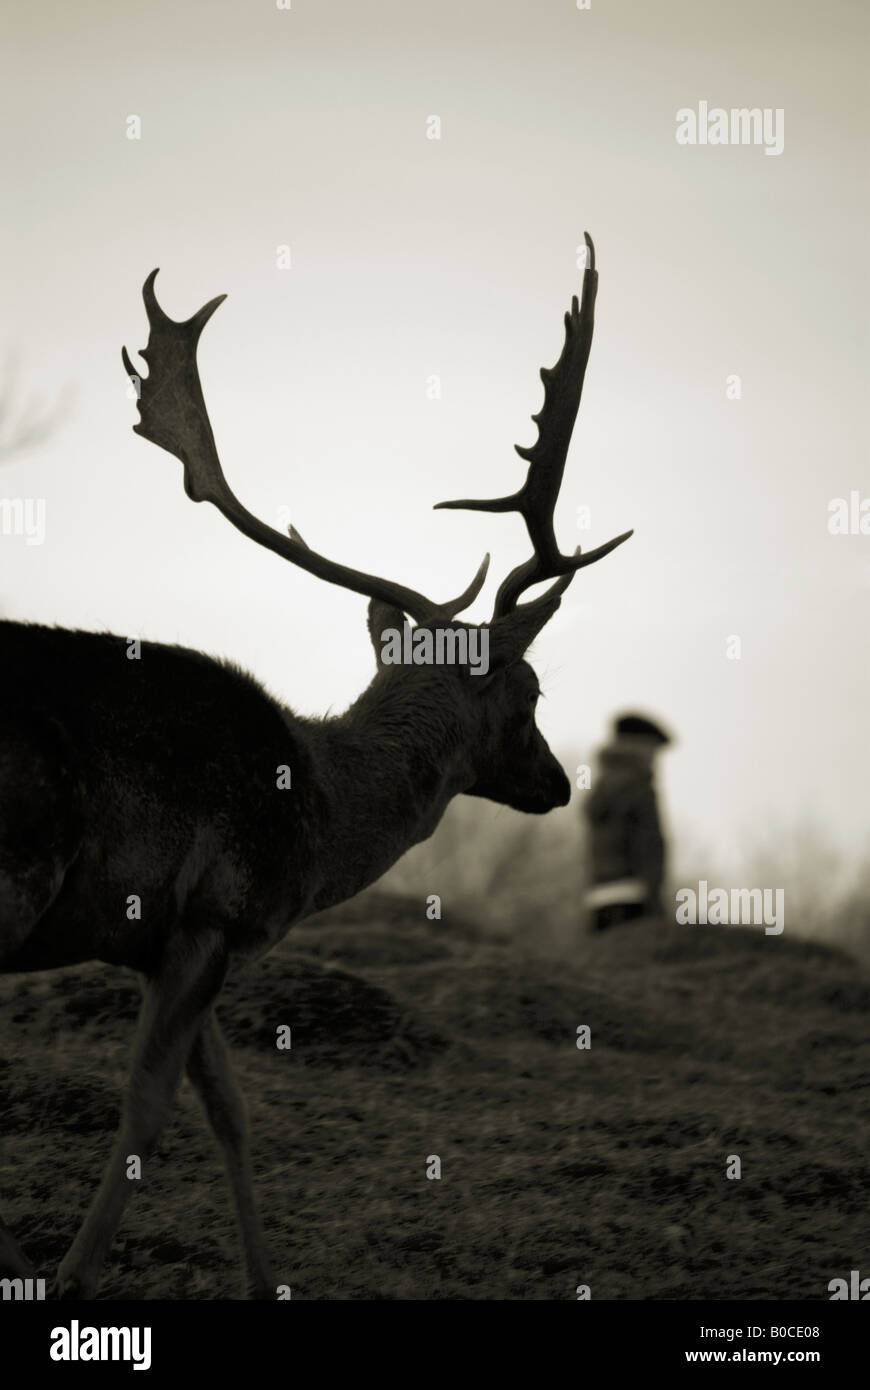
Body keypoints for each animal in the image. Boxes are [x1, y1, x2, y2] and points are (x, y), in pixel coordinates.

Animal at [0, 233, 631, 1299]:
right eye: (534, 691)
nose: (555, 783)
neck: (321, 818)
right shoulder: (215, 913)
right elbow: (148, 1110)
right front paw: (73, 1279)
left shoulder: (170, 942)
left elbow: (232, 1111)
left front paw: (265, 1283)